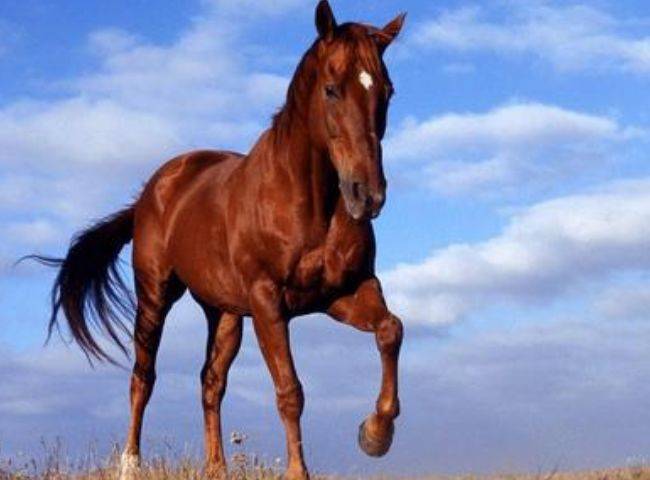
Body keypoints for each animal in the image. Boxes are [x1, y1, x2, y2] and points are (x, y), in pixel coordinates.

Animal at [33, 2, 406, 478]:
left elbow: (390, 330)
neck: (309, 203)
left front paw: (375, 434)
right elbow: (290, 391)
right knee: (143, 377)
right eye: (331, 89)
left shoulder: (343, 293)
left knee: (210, 383)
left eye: (387, 91)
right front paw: (299, 471)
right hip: (155, 296)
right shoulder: (269, 302)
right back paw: (131, 463)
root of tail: (150, 193)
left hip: (224, 313)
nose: (367, 195)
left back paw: (216, 468)